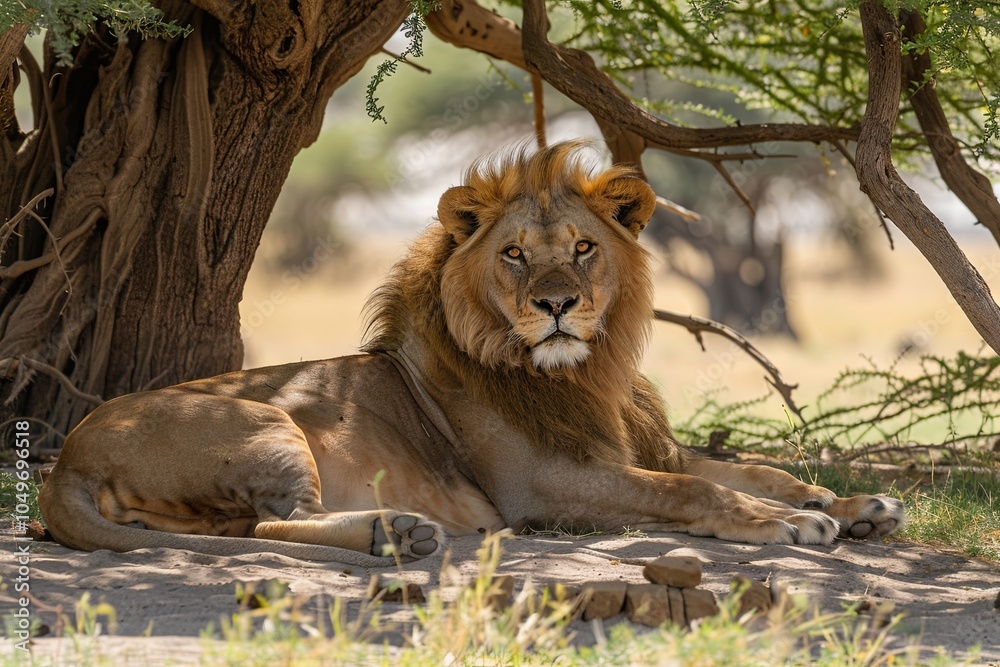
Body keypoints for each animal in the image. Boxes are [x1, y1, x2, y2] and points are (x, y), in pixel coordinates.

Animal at [39, 141, 904, 565]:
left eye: (584, 247)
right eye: (515, 254)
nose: (556, 305)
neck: (586, 372)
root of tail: (64, 461)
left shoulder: (631, 445)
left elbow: (752, 469)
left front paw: (853, 503)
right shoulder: (543, 482)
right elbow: (697, 490)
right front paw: (794, 524)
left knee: (249, 527)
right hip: (264, 422)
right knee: (270, 526)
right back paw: (395, 533)